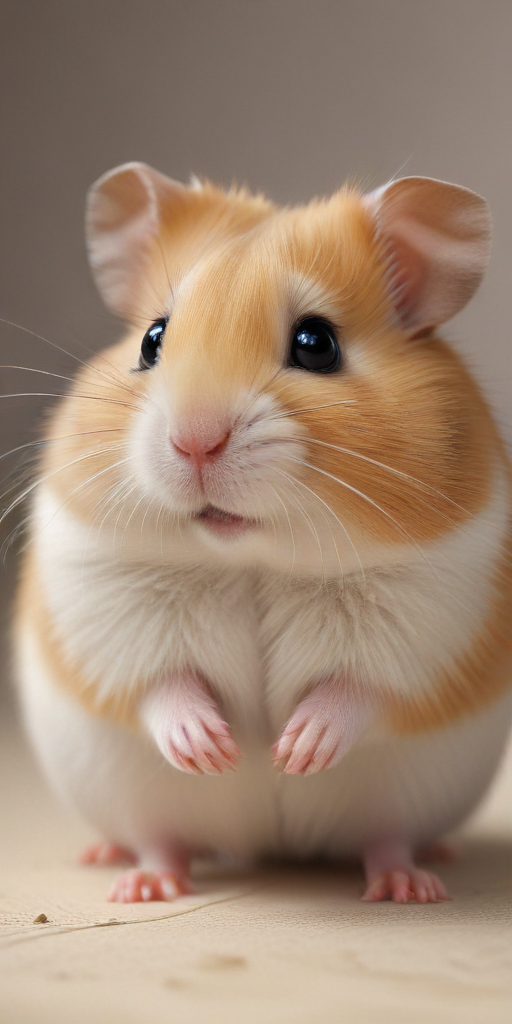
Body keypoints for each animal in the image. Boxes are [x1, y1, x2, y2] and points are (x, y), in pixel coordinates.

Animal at [13, 162, 512, 904]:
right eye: (152, 340)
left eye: (318, 344)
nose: (194, 441)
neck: (252, 556)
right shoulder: (109, 596)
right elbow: (160, 681)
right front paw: (214, 748)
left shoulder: (428, 614)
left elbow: (358, 688)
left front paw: (296, 751)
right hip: (137, 798)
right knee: (161, 839)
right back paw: (136, 880)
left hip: (400, 800)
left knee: (385, 839)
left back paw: (411, 883)